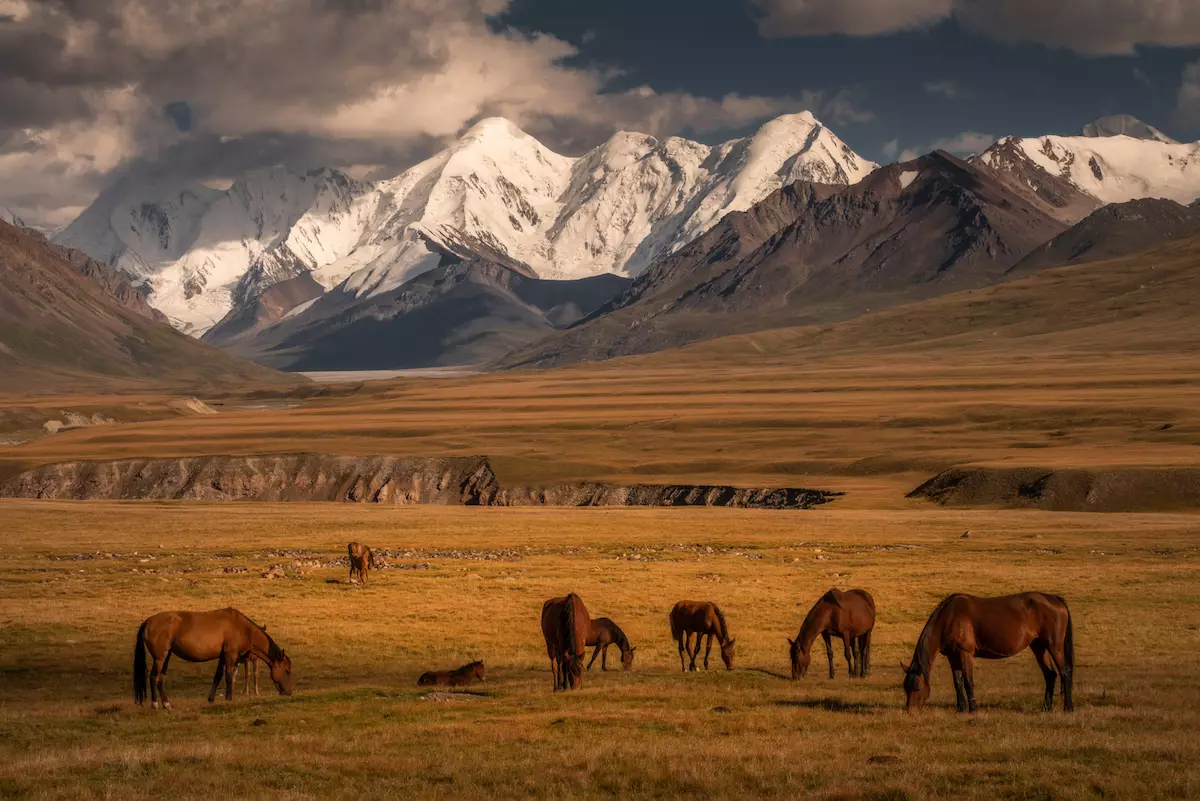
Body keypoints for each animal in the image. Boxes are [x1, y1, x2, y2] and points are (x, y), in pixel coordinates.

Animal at [132, 606, 291, 705]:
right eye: (287, 671)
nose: (289, 692)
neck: (243, 628)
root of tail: (148, 622)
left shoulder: (222, 657)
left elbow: (218, 676)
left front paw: (211, 698)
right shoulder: (230, 655)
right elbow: (228, 676)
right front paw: (229, 697)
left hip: (166, 657)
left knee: (161, 679)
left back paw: (166, 704)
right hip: (160, 658)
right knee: (153, 677)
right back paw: (155, 704)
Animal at [902, 587, 1080, 714]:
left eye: (916, 688)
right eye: (905, 687)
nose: (910, 711)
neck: (949, 617)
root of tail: (1055, 599)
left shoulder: (965, 653)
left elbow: (968, 681)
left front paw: (973, 709)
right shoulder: (953, 657)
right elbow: (957, 682)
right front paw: (960, 708)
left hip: (1053, 646)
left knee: (1064, 672)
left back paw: (1068, 708)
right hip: (1039, 646)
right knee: (1050, 675)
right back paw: (1046, 708)